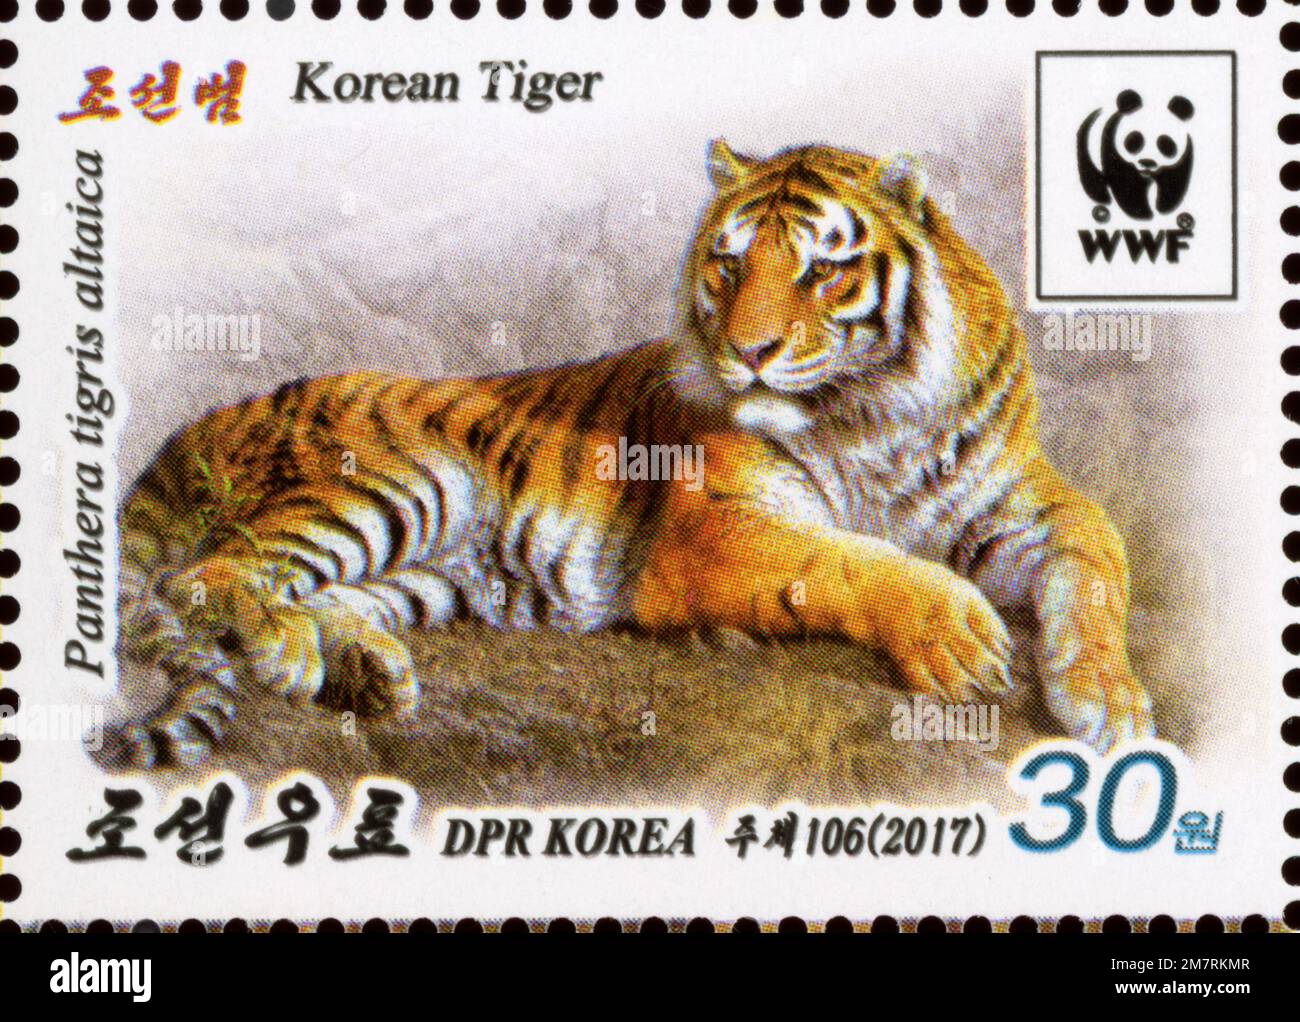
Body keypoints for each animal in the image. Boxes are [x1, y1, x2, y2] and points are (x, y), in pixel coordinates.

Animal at [113, 140, 1155, 768]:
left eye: (820, 269)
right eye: (729, 264)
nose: (748, 350)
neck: (870, 412)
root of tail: (221, 411)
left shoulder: (1026, 503)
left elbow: (1098, 562)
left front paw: (1111, 703)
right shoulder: (712, 529)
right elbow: (845, 560)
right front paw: (958, 636)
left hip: (434, 570)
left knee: (315, 591)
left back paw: (367, 667)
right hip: (401, 480)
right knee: (212, 572)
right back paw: (288, 651)